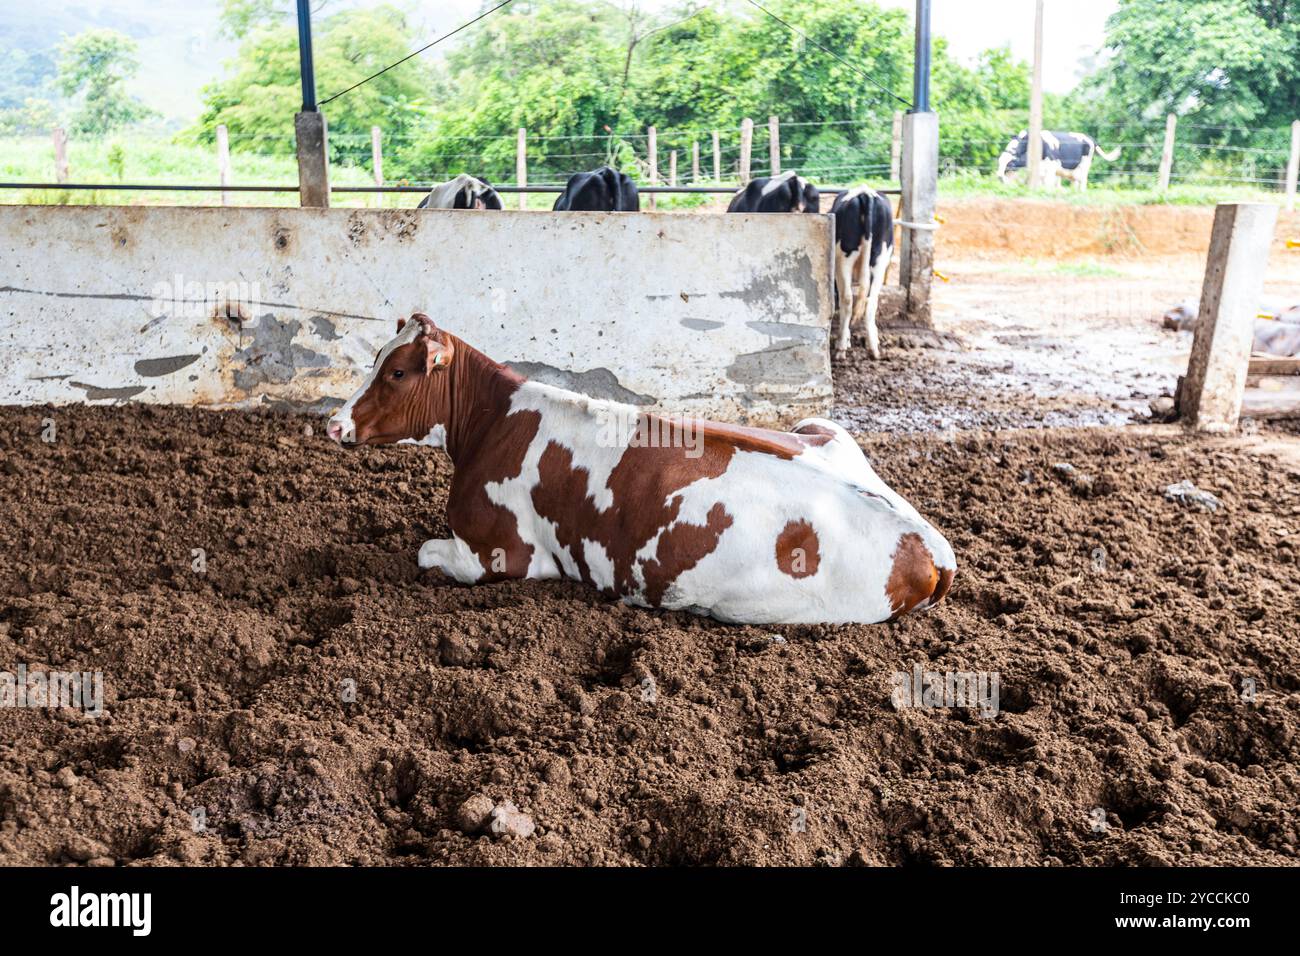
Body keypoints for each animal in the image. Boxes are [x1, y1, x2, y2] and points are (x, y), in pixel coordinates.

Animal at [325, 313, 956, 625]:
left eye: (397, 372)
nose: (333, 424)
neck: (493, 421)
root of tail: (929, 545)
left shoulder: (500, 555)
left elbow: (423, 552)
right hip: (820, 427)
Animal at [830, 186, 894, 359]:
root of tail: (865, 194)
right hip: (880, 260)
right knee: (871, 302)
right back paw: (874, 348)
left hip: (844, 259)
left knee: (847, 299)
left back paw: (841, 347)